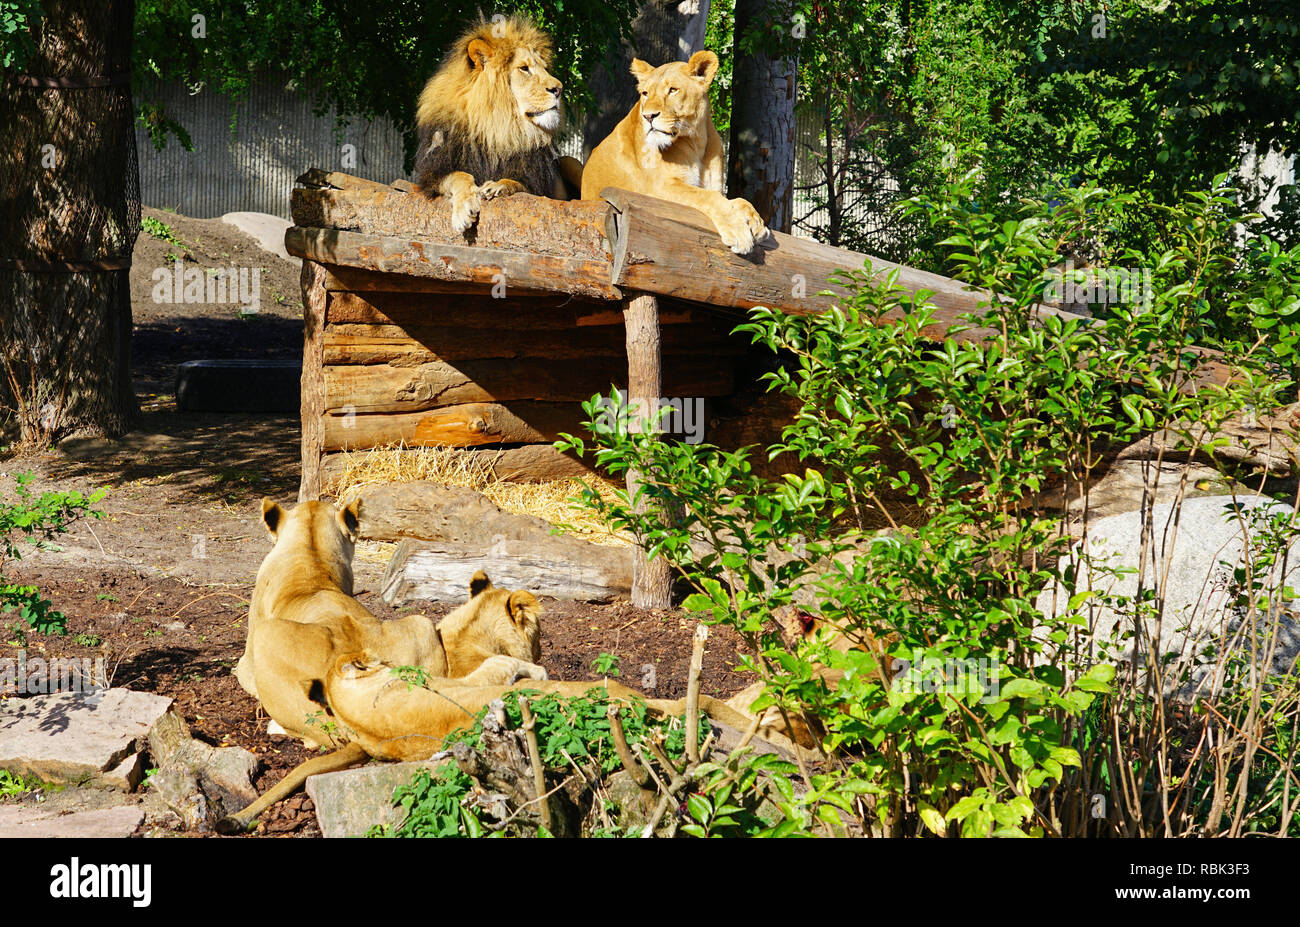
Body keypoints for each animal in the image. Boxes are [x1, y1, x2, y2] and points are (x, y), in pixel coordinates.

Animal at [413, 14, 583, 234]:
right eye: (524, 68)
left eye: (545, 69)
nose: (559, 89)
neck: (497, 128)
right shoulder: (434, 174)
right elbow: (459, 176)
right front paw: (463, 210)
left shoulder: (537, 185)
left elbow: (516, 183)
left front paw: (497, 186)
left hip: (571, 162)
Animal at [580, 51, 771, 255]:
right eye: (645, 94)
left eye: (672, 90)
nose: (648, 116)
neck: (696, 141)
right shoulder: (657, 187)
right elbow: (707, 197)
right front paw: (738, 231)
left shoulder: (715, 186)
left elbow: (738, 199)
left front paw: (757, 223)